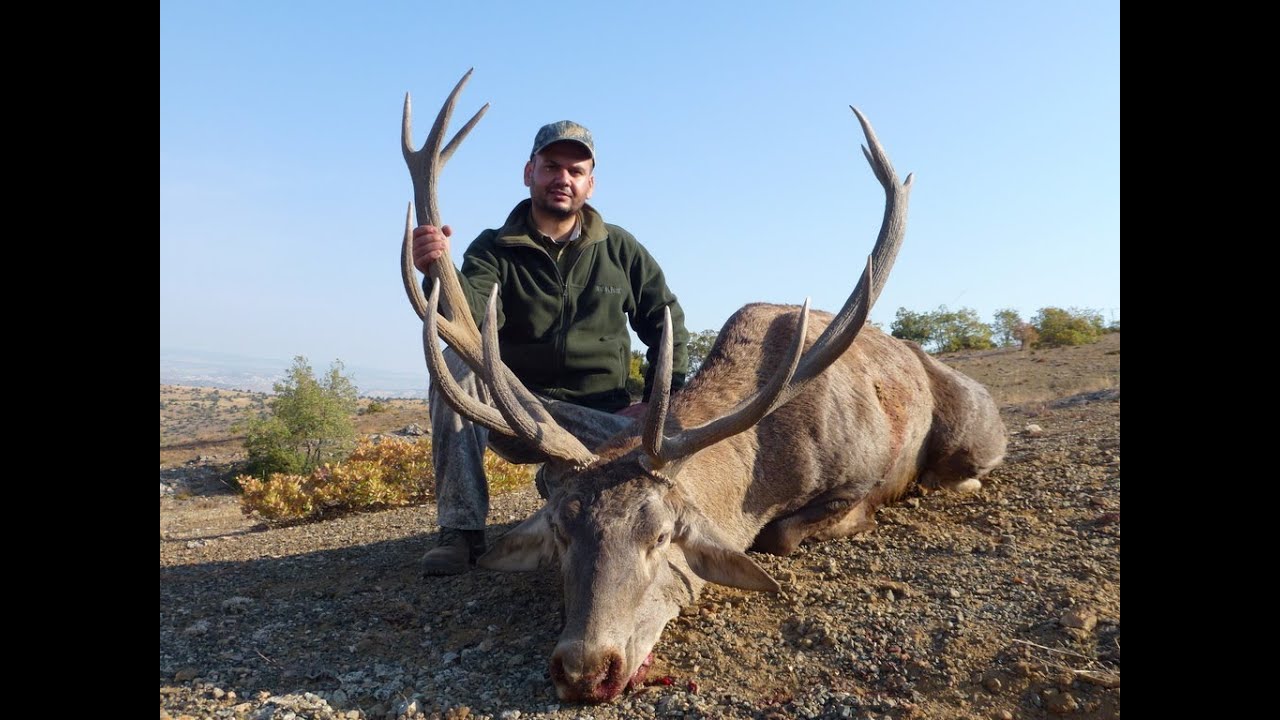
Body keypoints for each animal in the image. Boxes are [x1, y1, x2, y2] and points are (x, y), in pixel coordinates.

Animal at [399, 70, 1007, 704]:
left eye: (663, 535)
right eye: (562, 532)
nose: (586, 668)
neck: (768, 469)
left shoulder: (858, 474)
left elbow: (783, 535)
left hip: (972, 426)